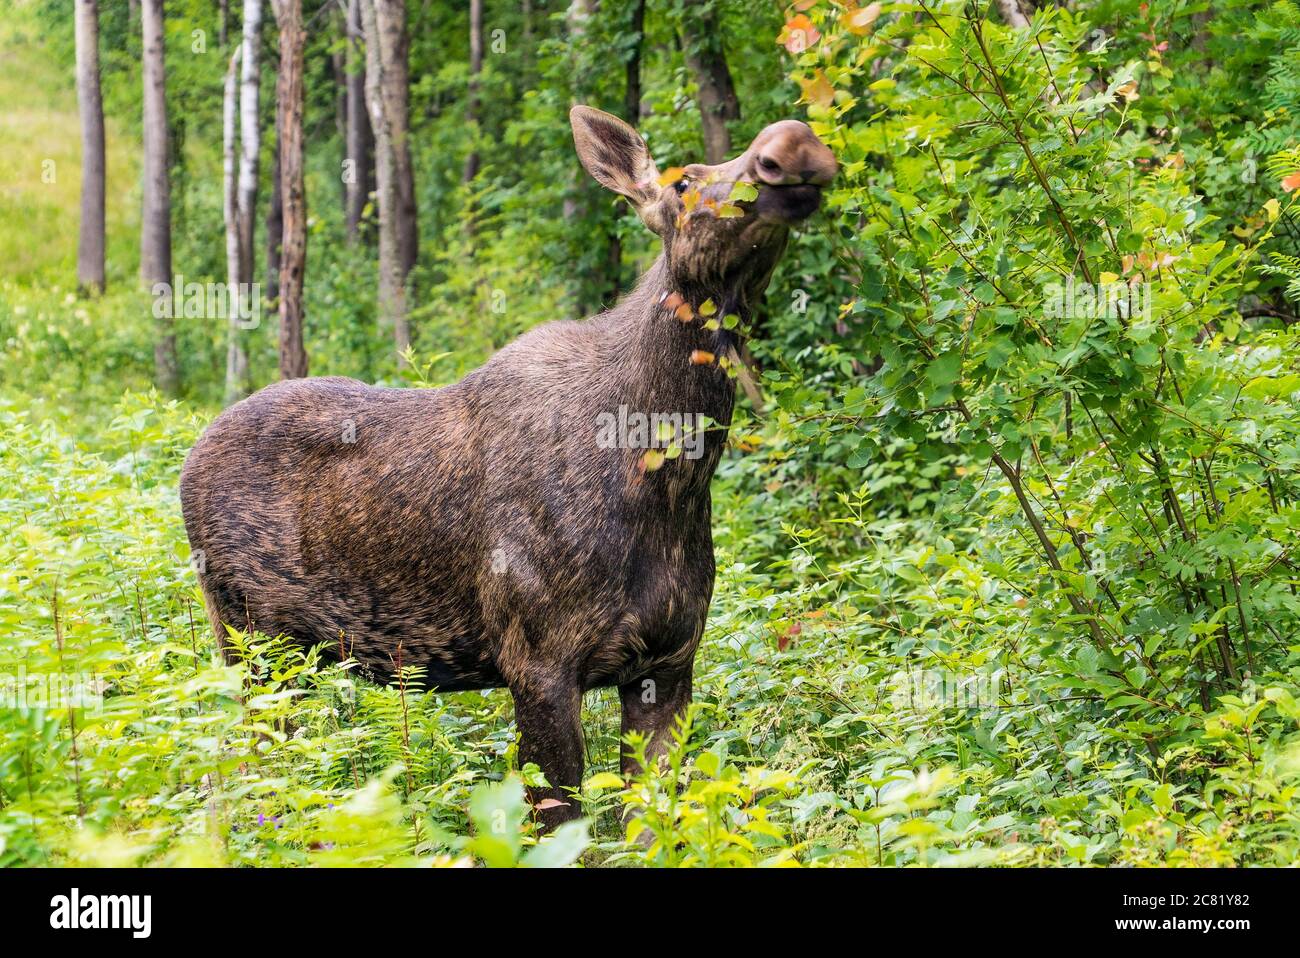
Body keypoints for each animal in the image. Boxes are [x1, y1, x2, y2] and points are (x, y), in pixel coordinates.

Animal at [180, 106, 837, 828]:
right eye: (683, 183)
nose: (791, 144)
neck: (667, 481)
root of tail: (185, 465)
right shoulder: (538, 662)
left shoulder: (667, 662)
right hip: (249, 638)